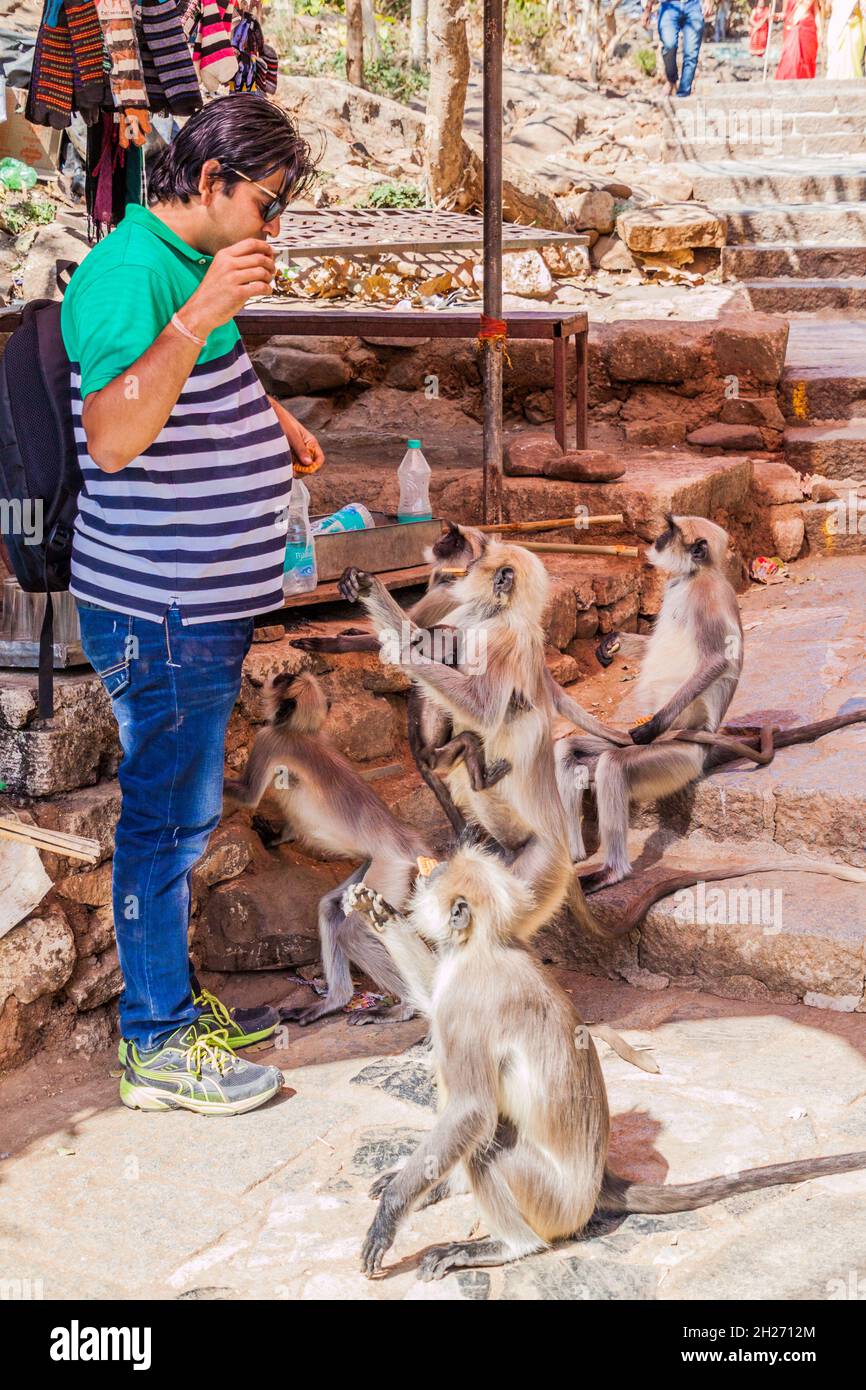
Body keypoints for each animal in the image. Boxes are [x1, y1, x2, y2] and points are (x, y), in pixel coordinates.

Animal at [223, 671, 435, 1025]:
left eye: (282, 679)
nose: (265, 679)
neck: (302, 732)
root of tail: (406, 837)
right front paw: (276, 837)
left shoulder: (270, 739)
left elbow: (248, 794)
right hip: (374, 866)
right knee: (331, 908)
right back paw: (335, 1001)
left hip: (389, 866)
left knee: (354, 933)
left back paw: (404, 1007)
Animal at [338, 538, 601, 939]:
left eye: (476, 560)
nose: (467, 565)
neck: (495, 614)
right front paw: (365, 583)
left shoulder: (503, 638)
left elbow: (484, 710)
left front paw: (404, 652)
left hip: (538, 865)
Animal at [344, 848, 866, 1281]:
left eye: (437, 877)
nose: (422, 875)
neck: (487, 946)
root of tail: (596, 1182)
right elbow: (432, 996)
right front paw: (378, 912)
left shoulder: (471, 999)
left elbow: (472, 1108)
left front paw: (390, 1214)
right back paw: (443, 1186)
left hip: (553, 1201)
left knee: (487, 1141)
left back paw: (510, 1245)